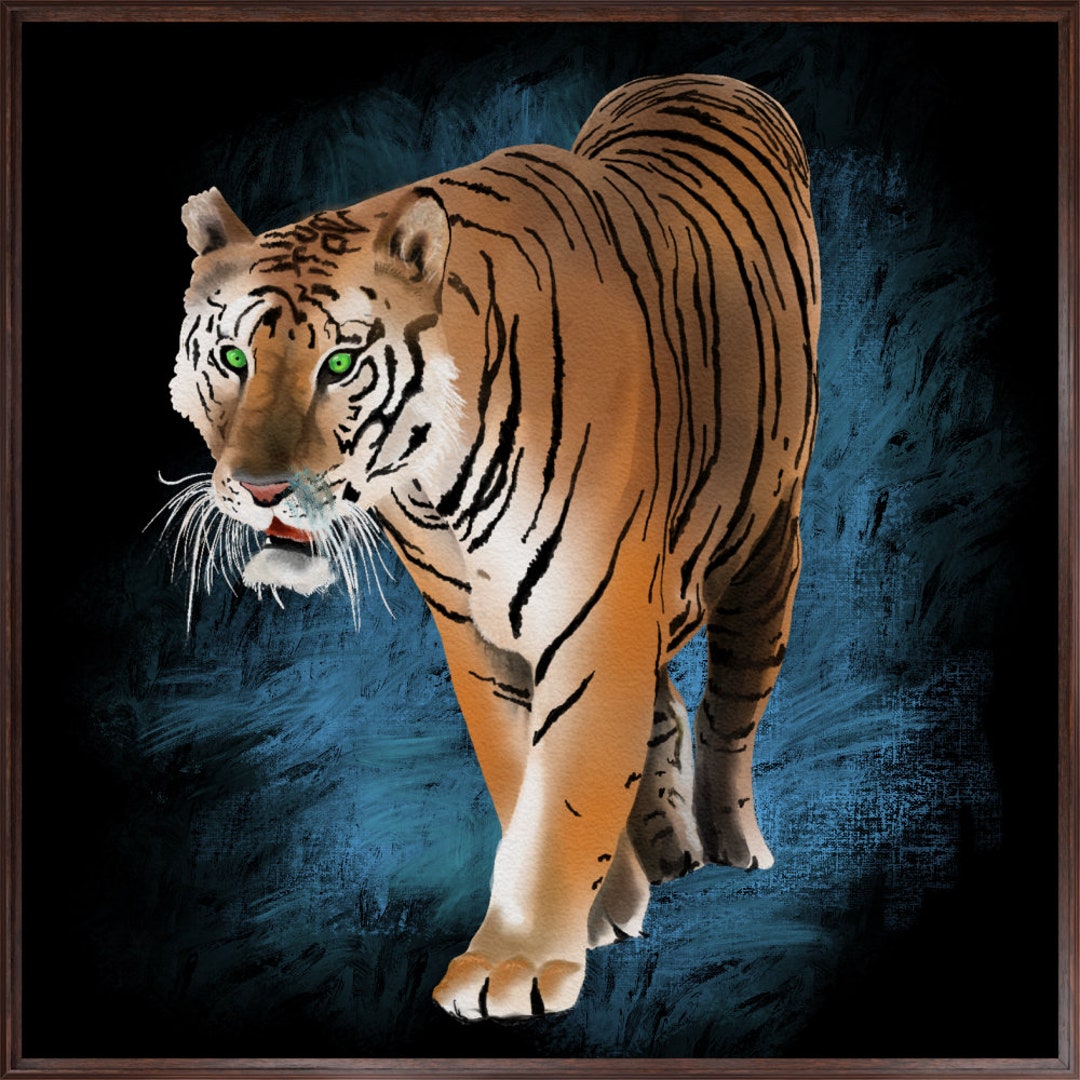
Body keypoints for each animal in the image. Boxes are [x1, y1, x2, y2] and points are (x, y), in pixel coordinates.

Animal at [164, 74, 819, 1020]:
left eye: (339, 367)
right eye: (231, 357)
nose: (259, 489)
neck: (438, 486)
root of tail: (701, 78)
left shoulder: (596, 618)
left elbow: (568, 791)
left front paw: (516, 964)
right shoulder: (478, 636)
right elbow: (523, 775)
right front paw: (603, 909)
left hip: (767, 545)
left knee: (732, 705)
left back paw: (733, 844)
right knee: (663, 707)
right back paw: (667, 856)